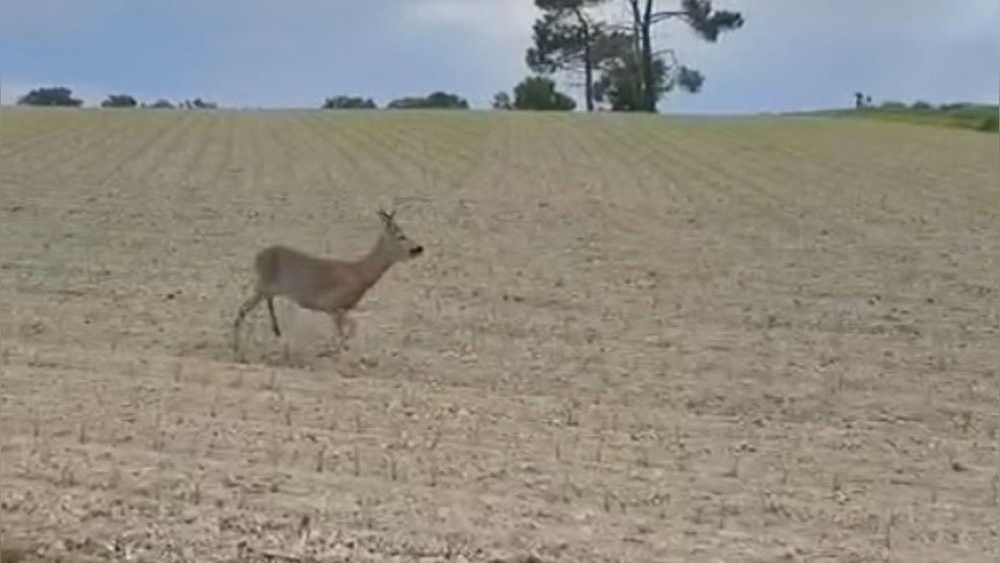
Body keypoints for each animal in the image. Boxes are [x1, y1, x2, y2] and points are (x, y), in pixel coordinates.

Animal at [232, 207, 424, 361]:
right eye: (401, 236)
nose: (419, 248)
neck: (360, 273)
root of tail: (258, 256)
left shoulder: (339, 310)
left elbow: (344, 332)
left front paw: (331, 351)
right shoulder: (333, 306)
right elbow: (349, 330)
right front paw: (333, 354)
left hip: (264, 289)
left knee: (245, 310)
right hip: (264, 286)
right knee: (243, 309)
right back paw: (240, 351)